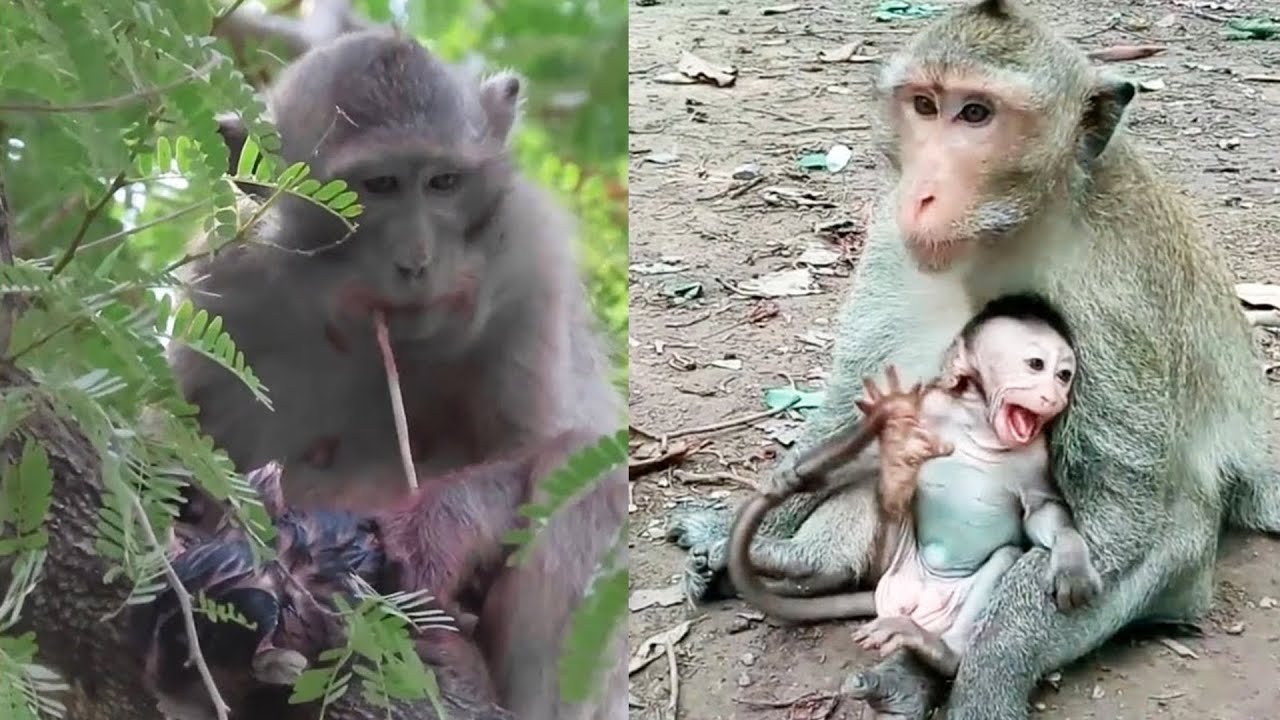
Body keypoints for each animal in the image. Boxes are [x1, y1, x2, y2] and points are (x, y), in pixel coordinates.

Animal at [168, 29, 626, 720]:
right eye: (378, 185)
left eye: (442, 183)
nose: (416, 261)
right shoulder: (218, 284)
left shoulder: (528, 255)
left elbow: (534, 446)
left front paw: (434, 532)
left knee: (592, 468)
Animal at [664, 1, 1279, 718]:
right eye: (926, 106)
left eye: (977, 114)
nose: (922, 192)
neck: (1014, 229)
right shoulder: (892, 241)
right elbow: (852, 405)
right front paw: (731, 532)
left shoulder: (1120, 301)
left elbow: (1115, 515)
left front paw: (989, 671)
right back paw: (802, 564)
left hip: (1184, 566)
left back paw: (921, 665)